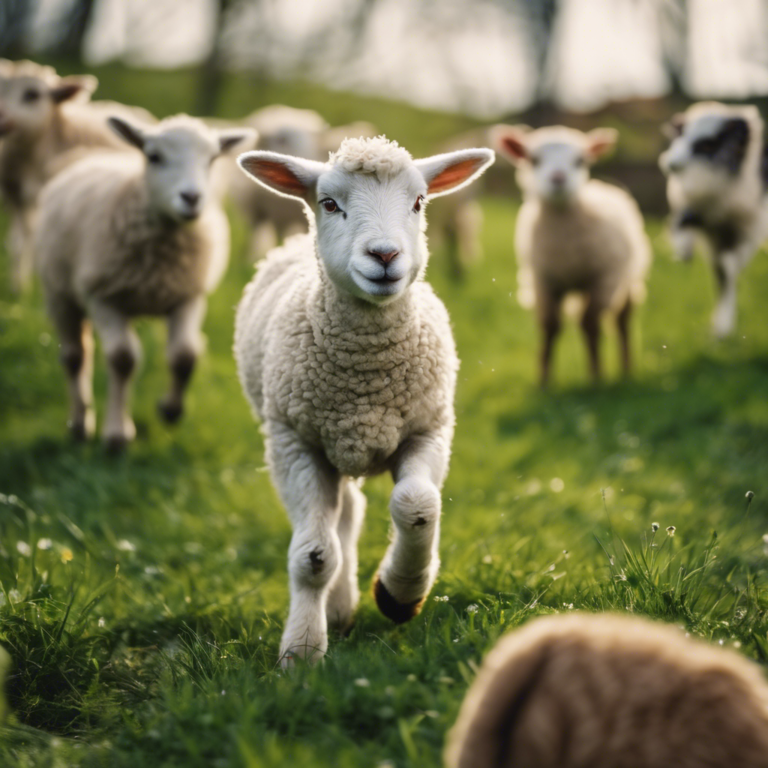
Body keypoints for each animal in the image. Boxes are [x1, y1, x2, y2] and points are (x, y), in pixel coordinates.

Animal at [35, 114, 254, 452]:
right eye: (154, 157)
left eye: (212, 159)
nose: (192, 198)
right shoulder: (102, 296)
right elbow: (123, 359)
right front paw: (116, 435)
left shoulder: (188, 296)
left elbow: (184, 354)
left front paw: (170, 410)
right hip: (59, 293)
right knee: (74, 356)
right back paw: (80, 424)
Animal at [234, 135, 494, 665]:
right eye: (329, 204)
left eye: (418, 202)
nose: (385, 254)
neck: (364, 383)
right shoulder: (294, 444)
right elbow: (313, 555)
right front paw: (302, 650)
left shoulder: (428, 428)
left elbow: (417, 504)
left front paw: (399, 593)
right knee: (341, 520)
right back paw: (336, 609)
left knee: (352, 512)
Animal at [493, 124, 651, 387]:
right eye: (533, 160)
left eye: (580, 160)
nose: (558, 179)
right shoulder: (543, 280)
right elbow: (549, 327)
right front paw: (544, 382)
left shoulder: (602, 280)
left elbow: (590, 325)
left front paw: (596, 377)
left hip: (627, 278)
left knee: (622, 322)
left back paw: (626, 369)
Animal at [659, 101, 768, 338]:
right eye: (681, 135)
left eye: (708, 143)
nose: (670, 164)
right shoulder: (694, 213)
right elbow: (681, 225)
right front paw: (682, 252)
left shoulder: (744, 230)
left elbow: (727, 271)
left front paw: (723, 327)